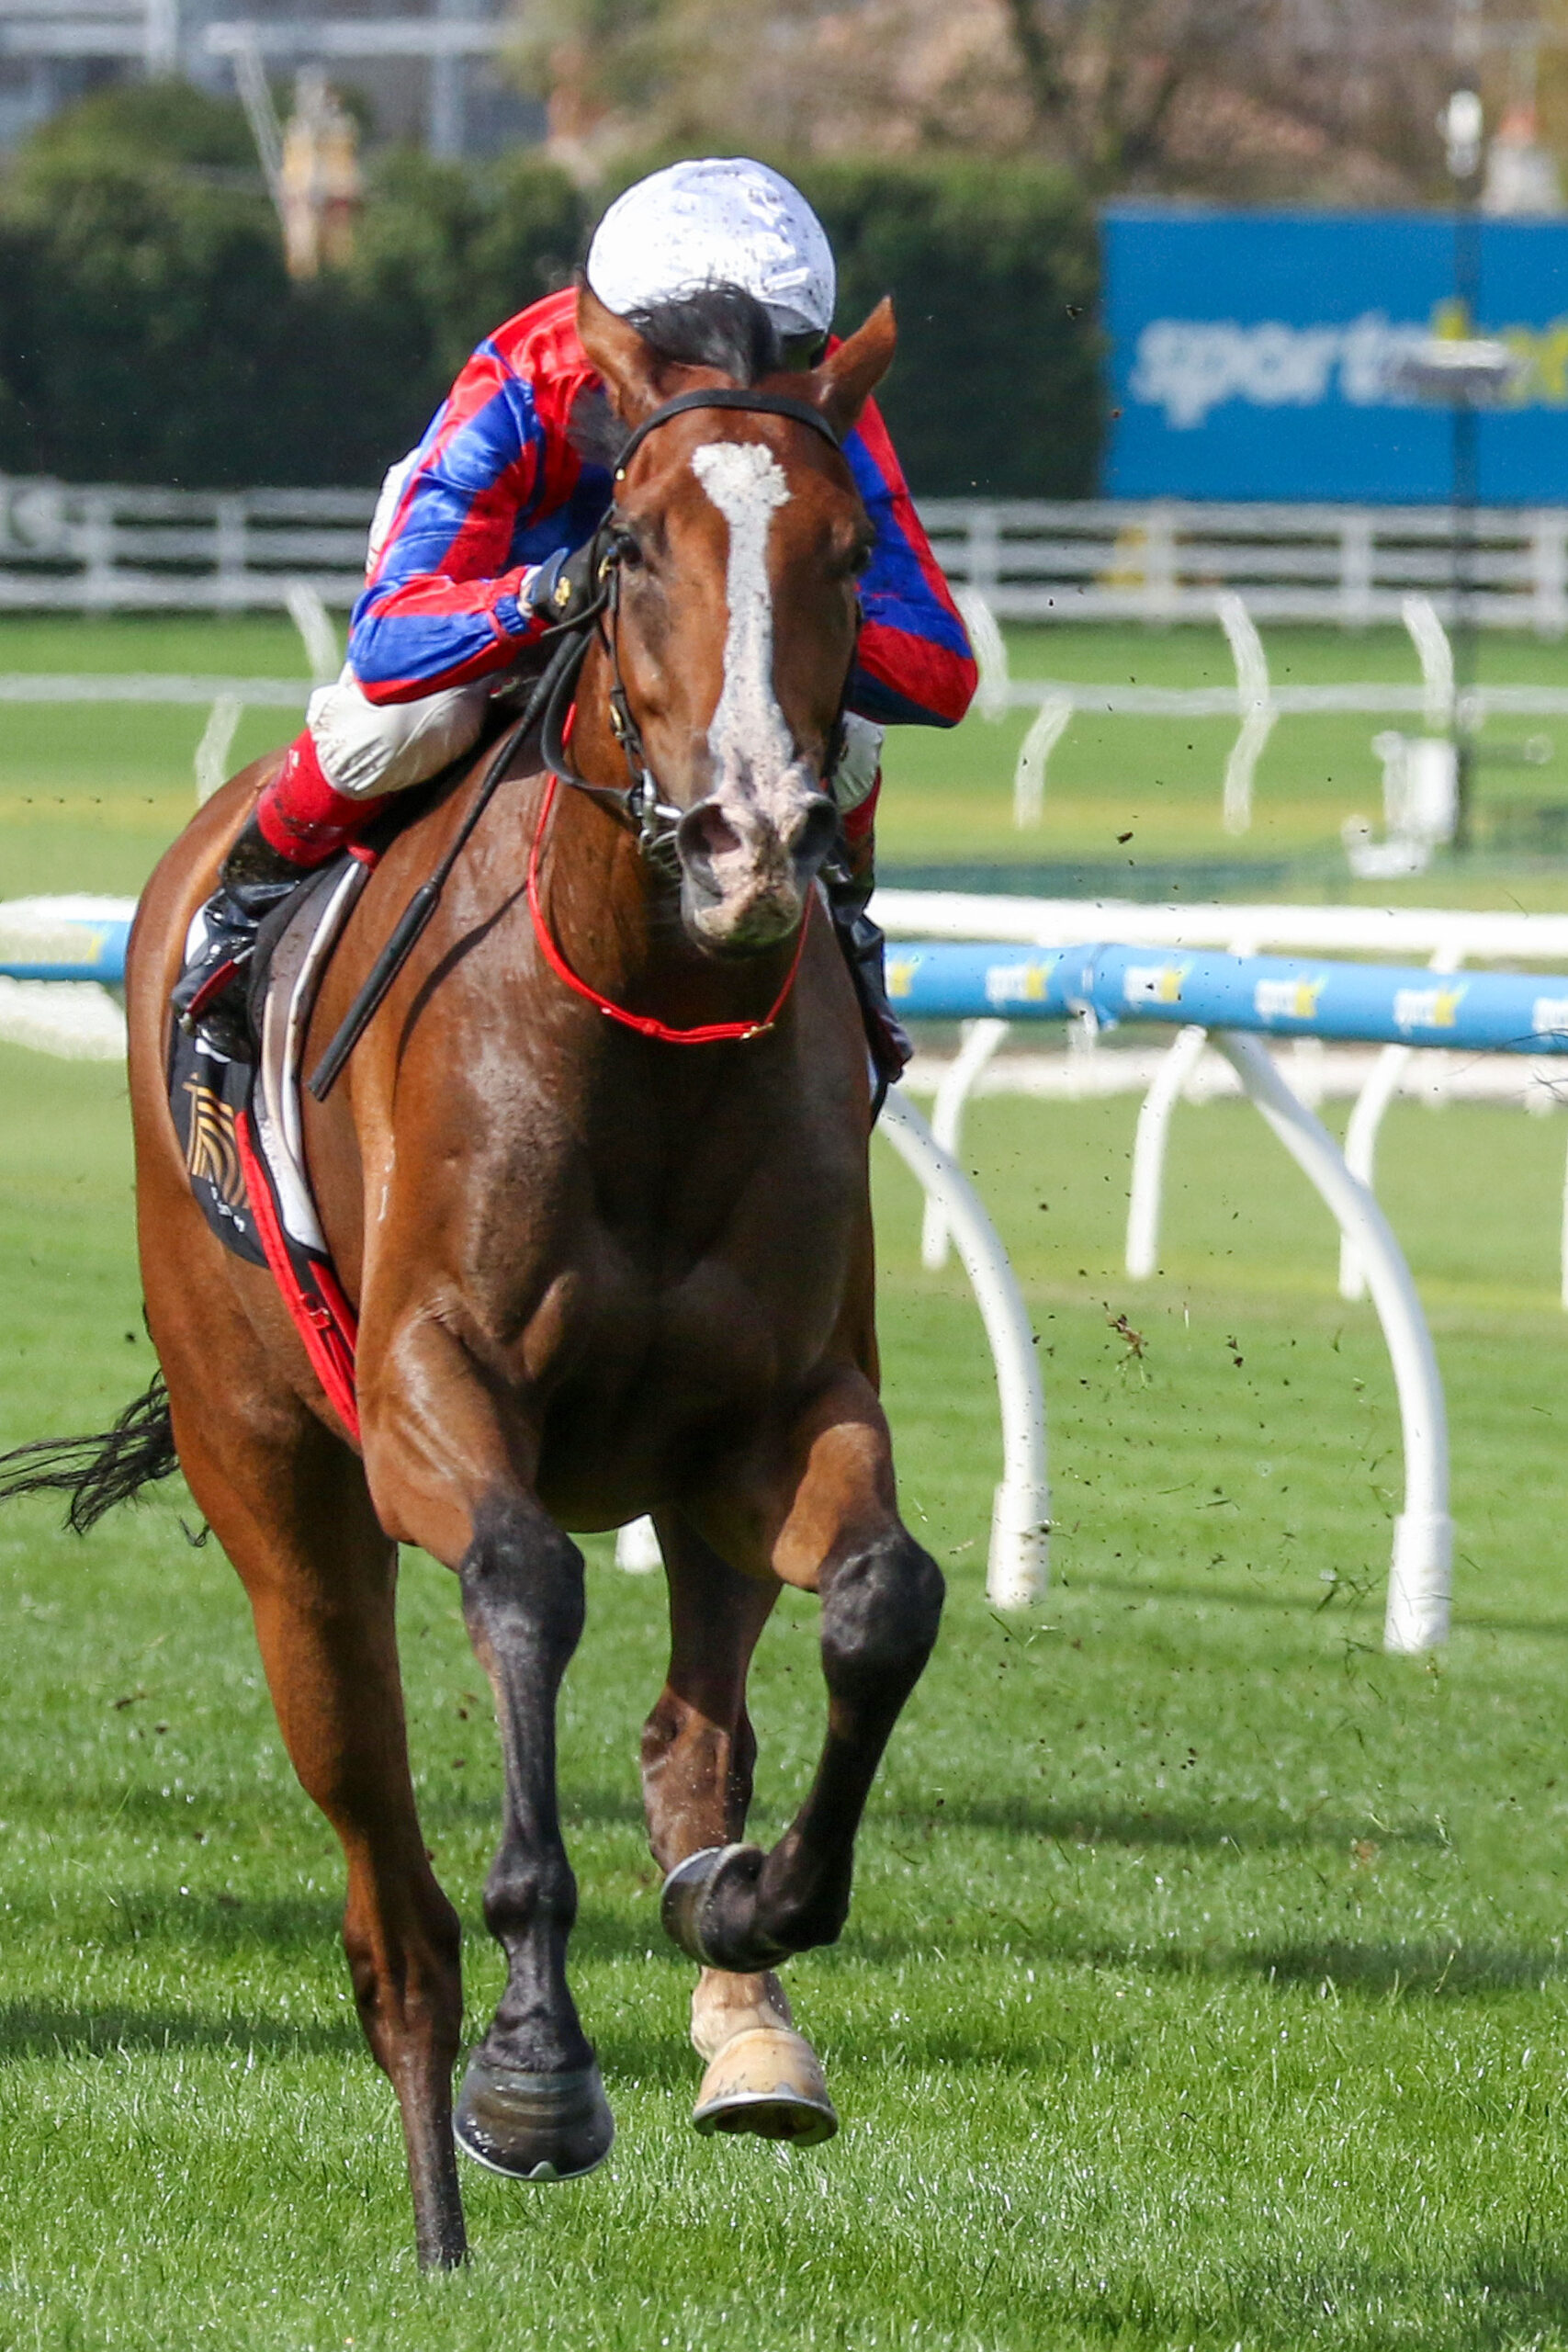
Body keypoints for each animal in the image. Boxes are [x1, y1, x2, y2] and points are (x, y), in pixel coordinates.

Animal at [5, 283, 946, 2269]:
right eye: (632, 543)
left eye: (849, 550)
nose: (749, 839)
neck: (645, 1028)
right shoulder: (430, 1394)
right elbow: (521, 1583)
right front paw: (539, 2064)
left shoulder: (775, 1412)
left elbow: (882, 1601)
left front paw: (754, 1904)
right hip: (282, 1506)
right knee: (389, 1909)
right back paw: (444, 2206)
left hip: (688, 1482)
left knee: (690, 1720)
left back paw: (746, 2023)